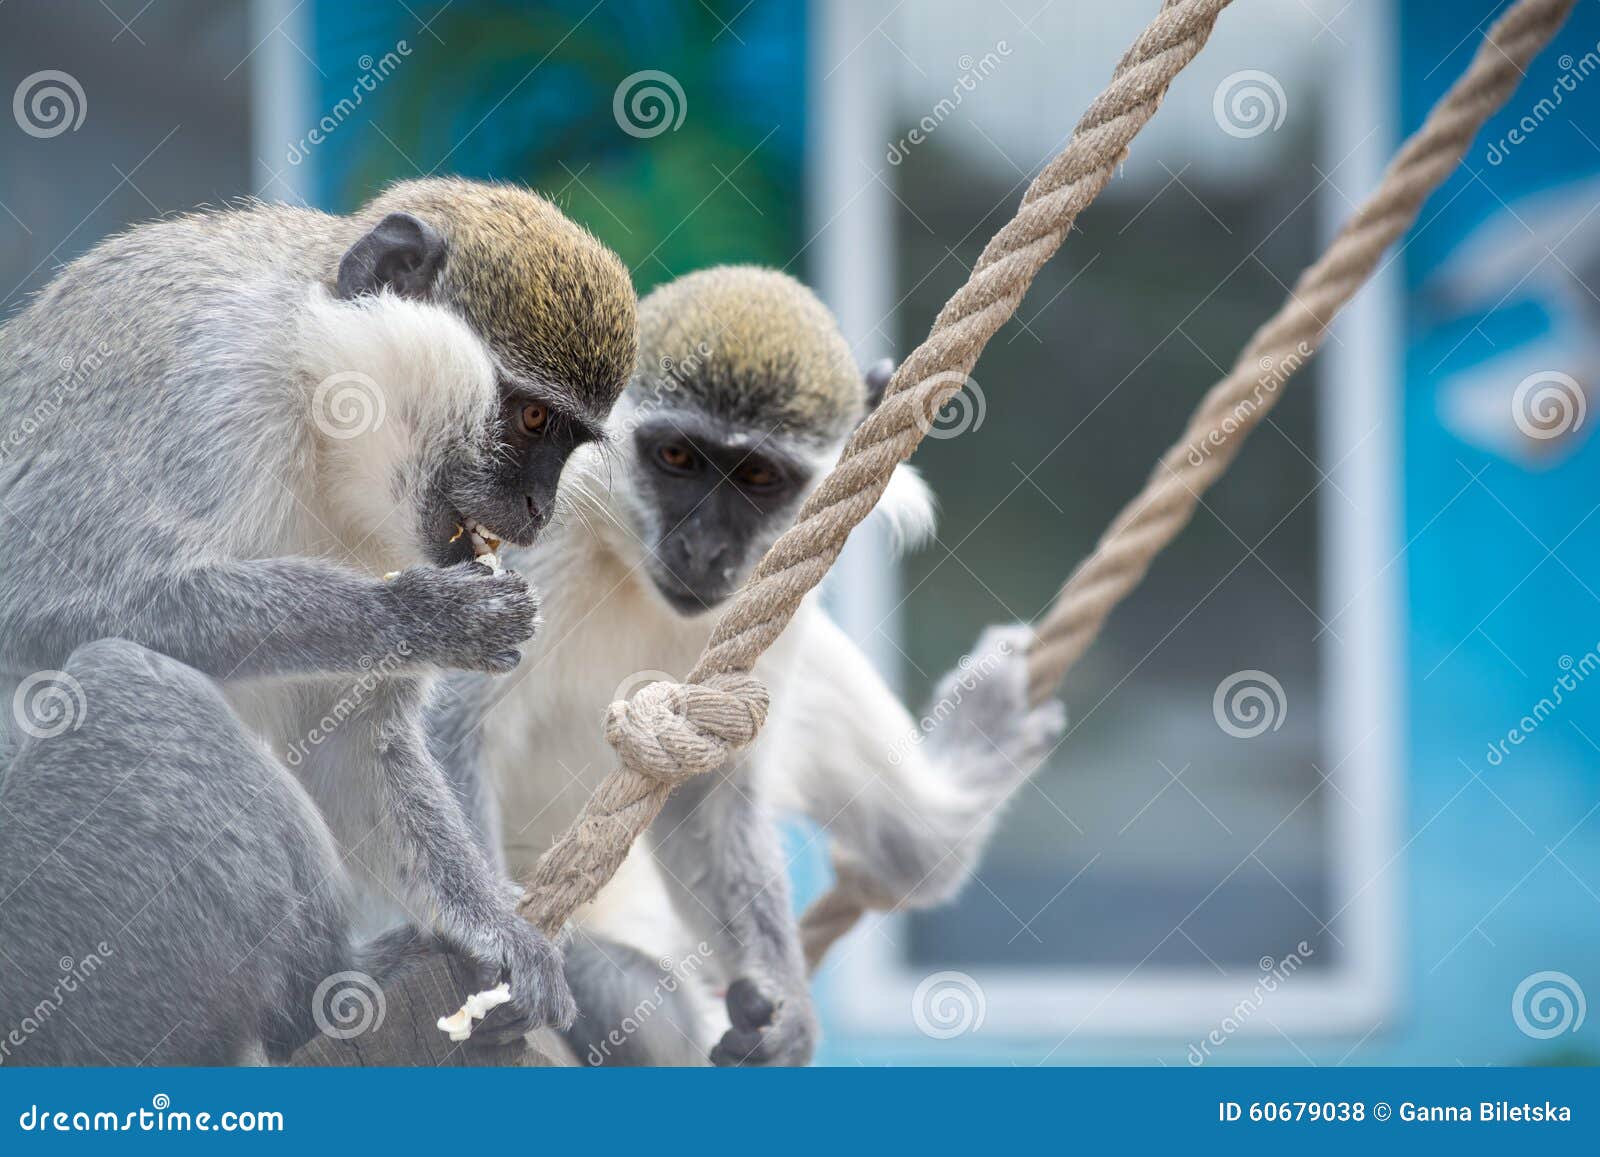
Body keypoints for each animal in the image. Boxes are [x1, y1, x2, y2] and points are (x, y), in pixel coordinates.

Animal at [0, 177, 637, 1060]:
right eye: (533, 420)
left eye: (571, 439)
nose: (540, 509)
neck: (316, 395)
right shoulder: (206, 378)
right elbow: (35, 597)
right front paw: (416, 615)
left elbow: (353, 739)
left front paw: (489, 926)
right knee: (131, 688)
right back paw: (323, 991)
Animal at [428, 266, 1065, 1066]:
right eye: (677, 458)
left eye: (758, 474)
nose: (703, 549)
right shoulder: (540, 532)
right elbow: (446, 725)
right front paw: (494, 955)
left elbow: (706, 789)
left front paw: (783, 1009)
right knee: (607, 982)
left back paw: (948, 806)